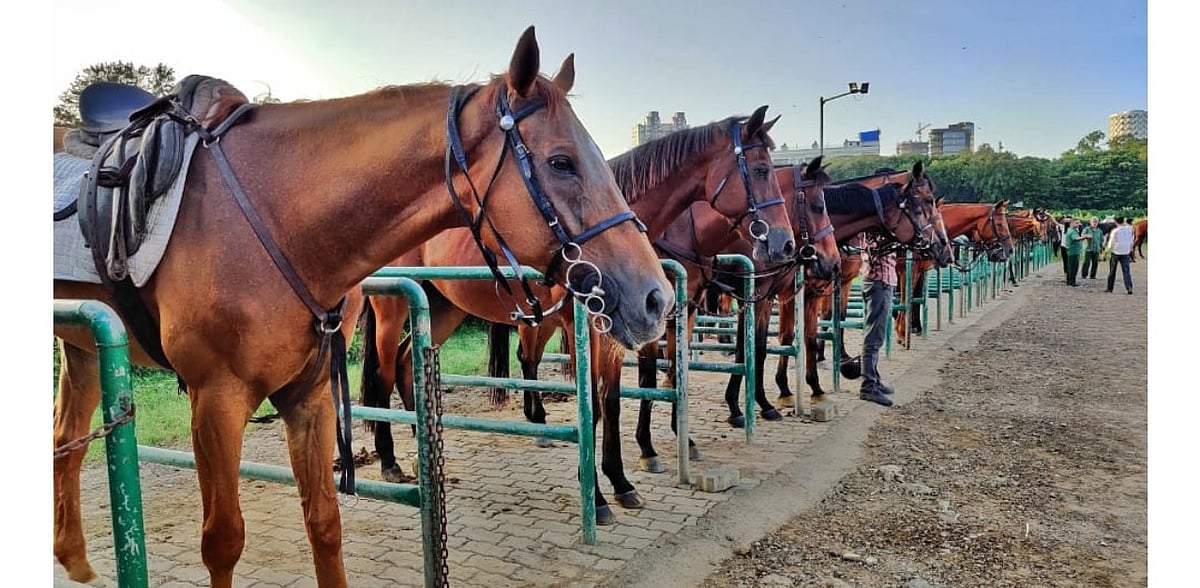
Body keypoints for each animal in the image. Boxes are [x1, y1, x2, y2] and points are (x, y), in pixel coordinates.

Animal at [53, 27, 674, 587]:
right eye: (562, 162)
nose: (656, 298)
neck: (279, 217)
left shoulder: (308, 398)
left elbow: (325, 523)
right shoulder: (216, 400)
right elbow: (223, 542)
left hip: (82, 346)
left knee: (66, 443)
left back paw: (76, 560)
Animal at [358, 106, 796, 524]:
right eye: (761, 170)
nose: (785, 244)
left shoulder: (619, 334)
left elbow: (612, 401)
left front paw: (621, 482)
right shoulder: (583, 327)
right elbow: (593, 408)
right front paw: (599, 497)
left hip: (444, 308)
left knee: (406, 365)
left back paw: (423, 445)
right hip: (394, 308)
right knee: (384, 374)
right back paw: (391, 461)